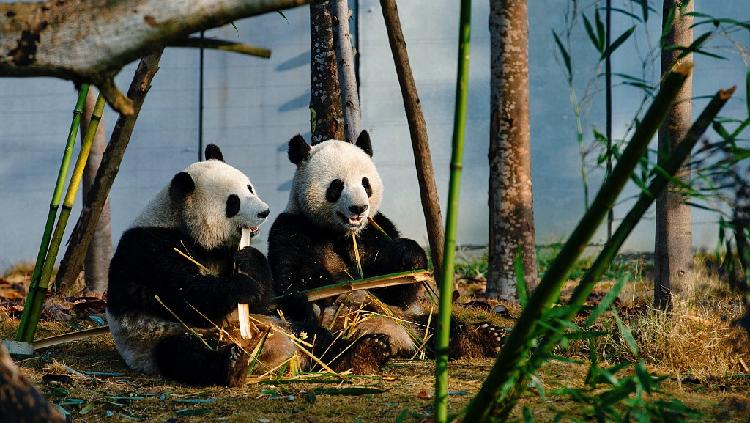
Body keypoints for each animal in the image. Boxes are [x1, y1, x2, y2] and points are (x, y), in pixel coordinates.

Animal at [106, 145, 392, 387]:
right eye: (233, 202)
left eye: (250, 188)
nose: (264, 212)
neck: (179, 221)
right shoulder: (149, 248)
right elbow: (186, 296)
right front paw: (240, 286)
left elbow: (264, 298)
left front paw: (251, 260)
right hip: (157, 340)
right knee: (185, 354)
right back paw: (231, 364)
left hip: (280, 325)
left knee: (312, 335)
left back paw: (366, 351)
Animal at [268, 132, 504, 362]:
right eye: (337, 185)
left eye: (365, 183)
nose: (359, 208)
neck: (342, 234)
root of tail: (400, 340)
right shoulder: (292, 229)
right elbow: (297, 280)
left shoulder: (376, 230)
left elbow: (395, 288)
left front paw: (409, 257)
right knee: (316, 338)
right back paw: (363, 351)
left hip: (410, 317)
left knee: (438, 323)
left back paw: (480, 337)